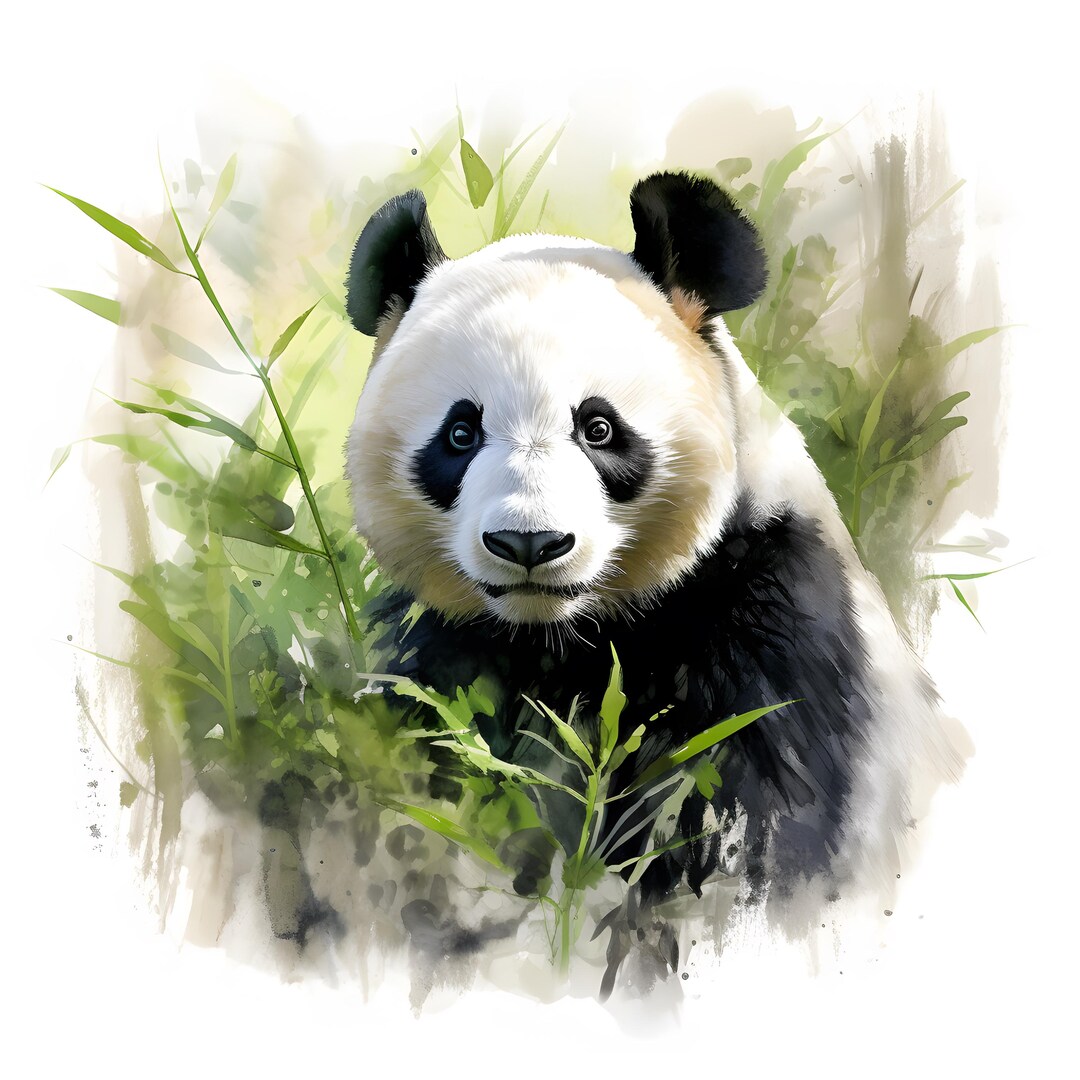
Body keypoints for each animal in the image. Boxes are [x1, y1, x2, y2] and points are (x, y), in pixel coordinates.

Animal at [343, 171, 948, 927]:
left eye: (599, 428)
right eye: (460, 433)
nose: (529, 542)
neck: (566, 636)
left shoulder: (770, 630)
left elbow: (743, 819)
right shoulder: (445, 650)